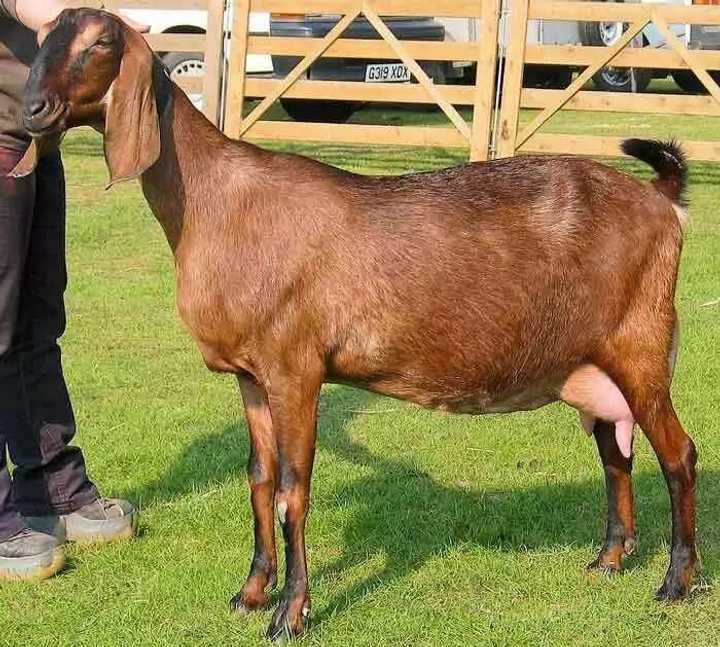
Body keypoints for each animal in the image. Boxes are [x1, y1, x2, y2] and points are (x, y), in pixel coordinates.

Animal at [14, 9, 698, 640]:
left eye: (100, 41)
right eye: (41, 38)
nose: (31, 109)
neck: (217, 201)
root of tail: (661, 199)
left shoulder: (295, 368)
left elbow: (293, 491)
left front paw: (291, 614)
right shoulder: (251, 377)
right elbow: (259, 481)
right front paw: (251, 592)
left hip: (641, 347)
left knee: (678, 454)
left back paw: (675, 582)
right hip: (591, 365)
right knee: (615, 451)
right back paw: (610, 560)